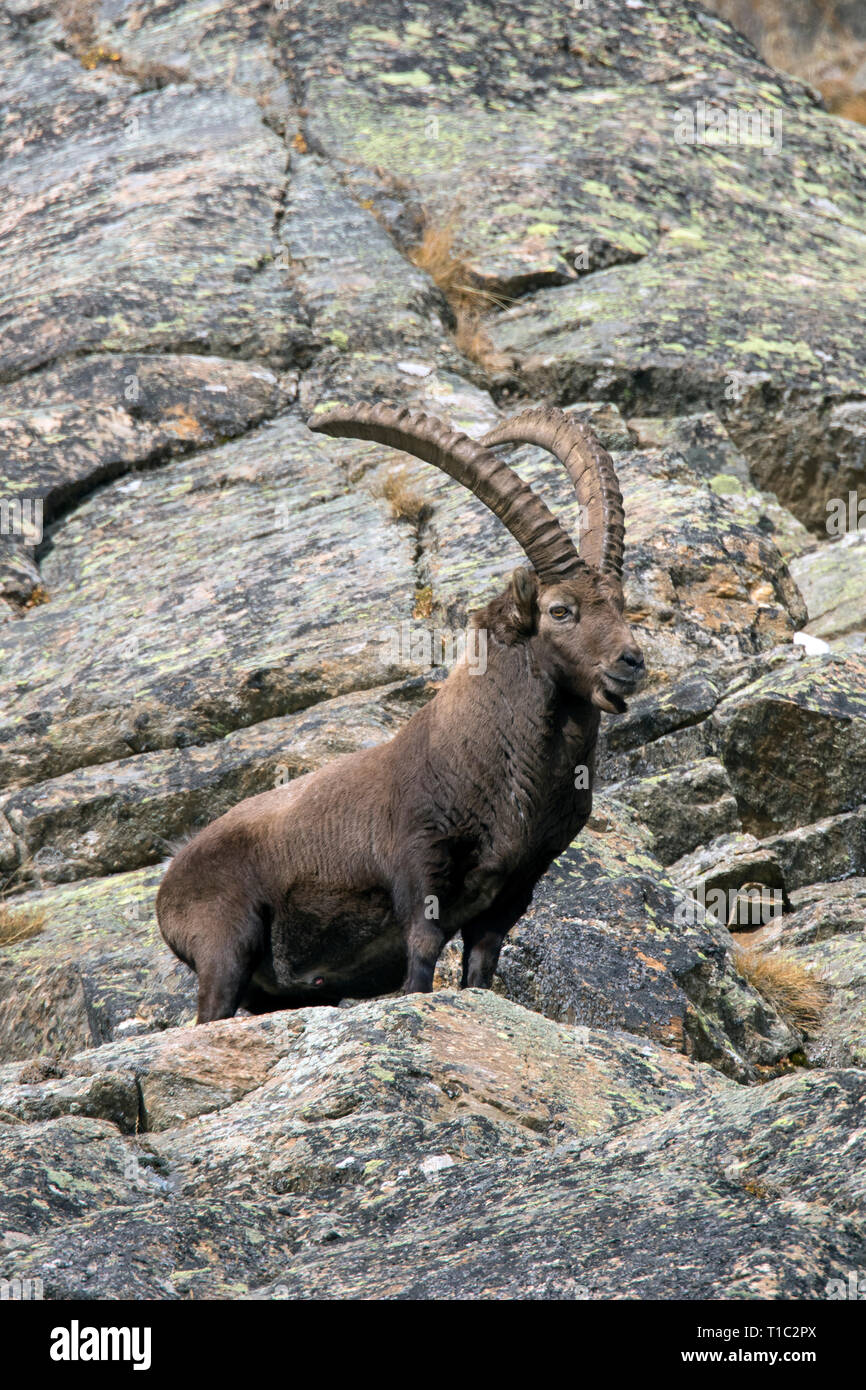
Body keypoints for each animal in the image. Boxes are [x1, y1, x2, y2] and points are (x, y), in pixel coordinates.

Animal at [156, 404, 645, 1021]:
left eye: (622, 605)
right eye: (561, 610)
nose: (632, 662)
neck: (501, 766)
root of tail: (168, 884)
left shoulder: (518, 882)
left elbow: (482, 961)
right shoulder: (419, 860)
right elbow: (422, 948)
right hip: (225, 943)